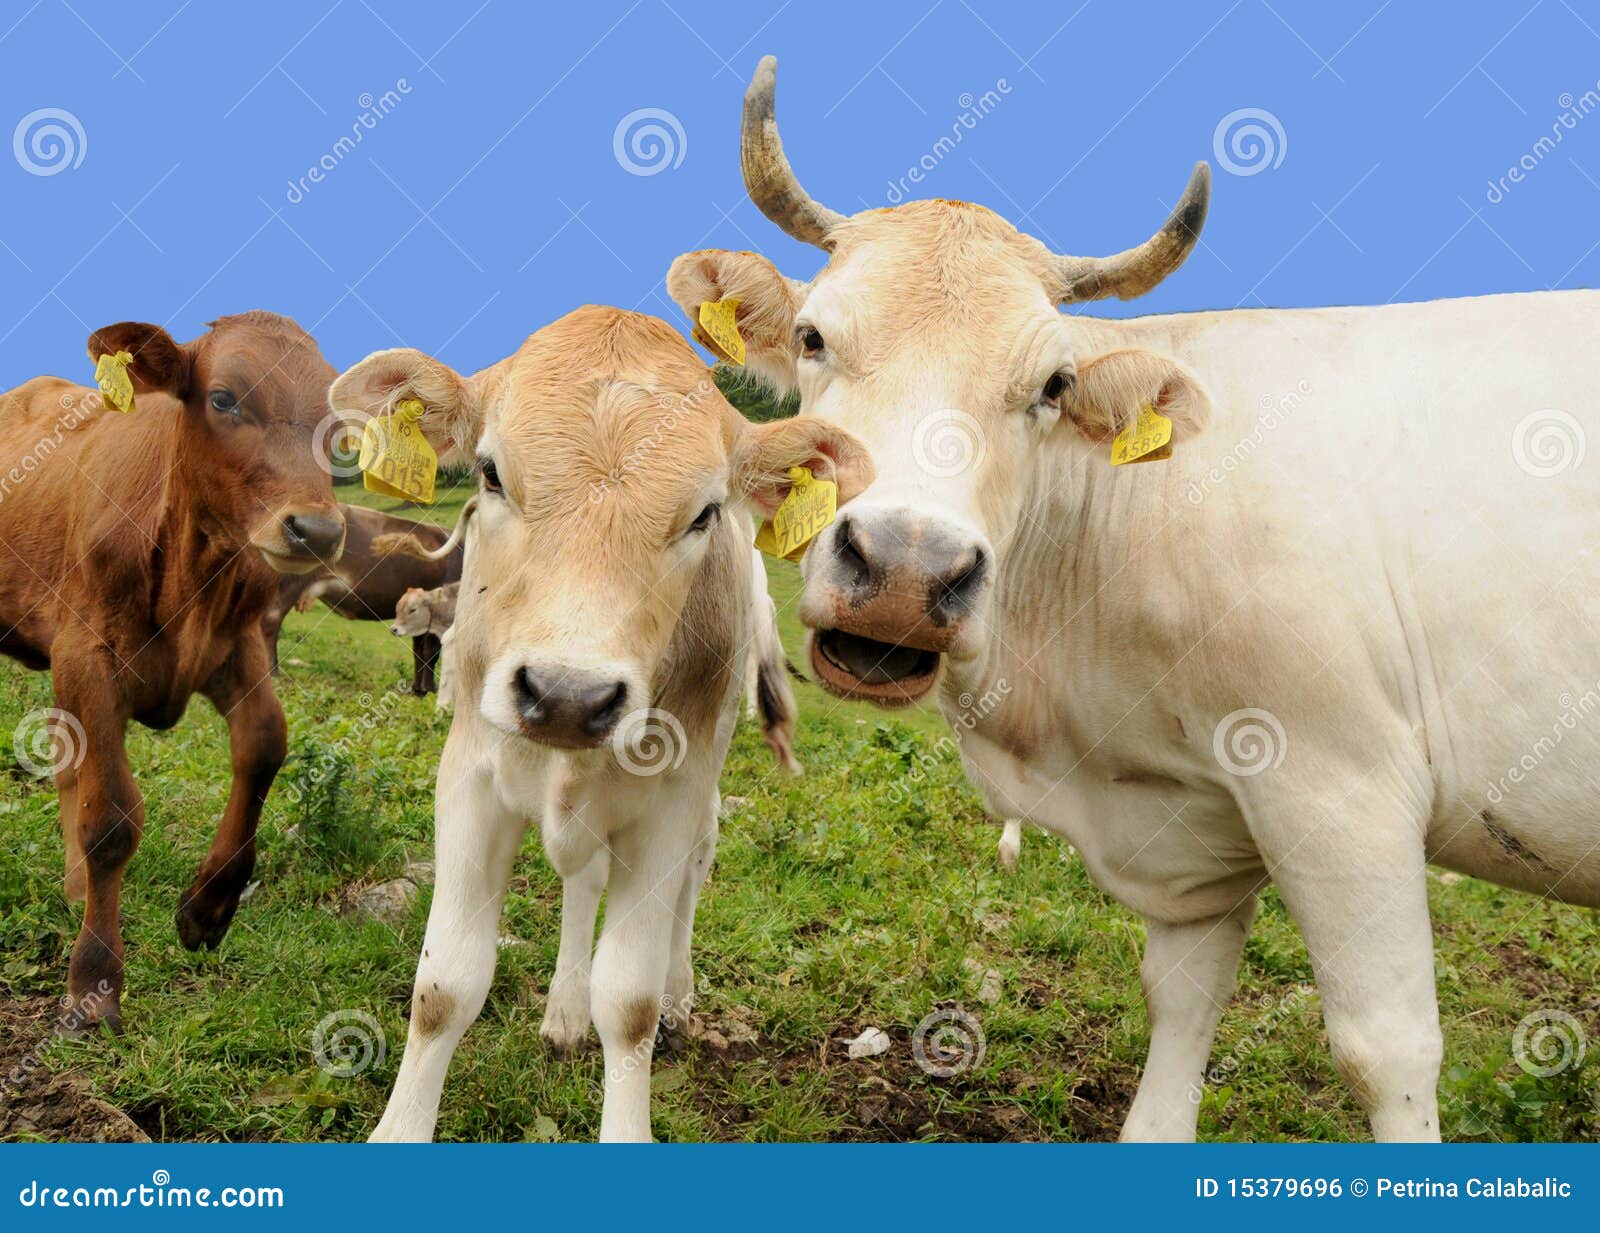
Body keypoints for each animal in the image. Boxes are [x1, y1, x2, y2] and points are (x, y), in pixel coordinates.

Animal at [0, 312, 344, 1031]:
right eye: (224, 399)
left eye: (337, 424)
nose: (318, 530)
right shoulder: (87, 656)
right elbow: (110, 817)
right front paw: (94, 983)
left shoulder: (236, 647)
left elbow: (265, 744)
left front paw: (208, 906)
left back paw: (75, 888)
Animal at [261, 501, 462, 694]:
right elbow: (431, 653)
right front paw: (429, 689)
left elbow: (419, 651)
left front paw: (418, 689)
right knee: (271, 619)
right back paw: (273, 672)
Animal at [330, 305, 870, 1142]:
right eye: (490, 472)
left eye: (705, 512)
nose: (567, 693)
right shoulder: (470, 778)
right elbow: (446, 985)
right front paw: (400, 1129)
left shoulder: (670, 800)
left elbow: (631, 1001)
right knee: (583, 880)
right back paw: (563, 1008)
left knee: (693, 874)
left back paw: (678, 991)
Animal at [666, 57, 1600, 1142]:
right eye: (813, 336)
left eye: (1052, 383)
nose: (905, 569)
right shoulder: (1194, 821)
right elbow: (1181, 998)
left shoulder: (1344, 783)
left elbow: (1388, 1051)